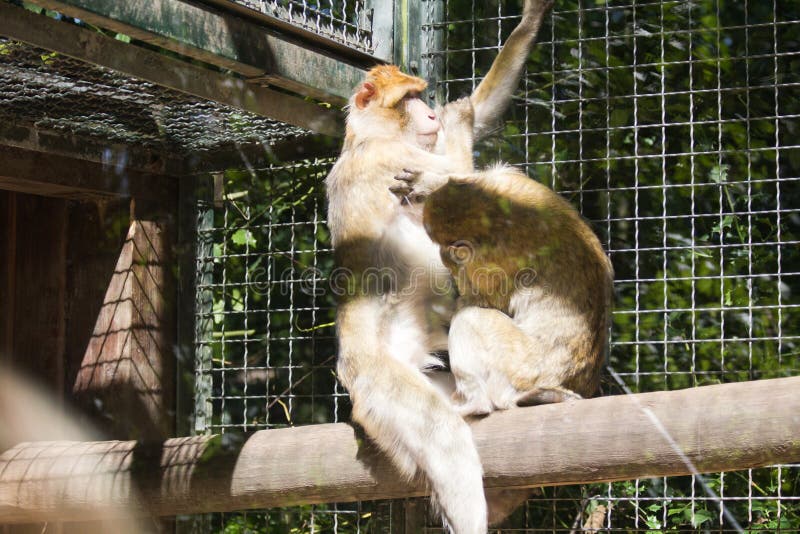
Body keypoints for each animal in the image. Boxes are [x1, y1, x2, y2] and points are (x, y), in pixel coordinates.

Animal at [324, 0, 553, 531]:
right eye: (410, 98)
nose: (429, 111)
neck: (364, 138)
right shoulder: (388, 158)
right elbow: (459, 180)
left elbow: (469, 117)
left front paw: (530, 21)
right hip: (377, 382)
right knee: (443, 437)